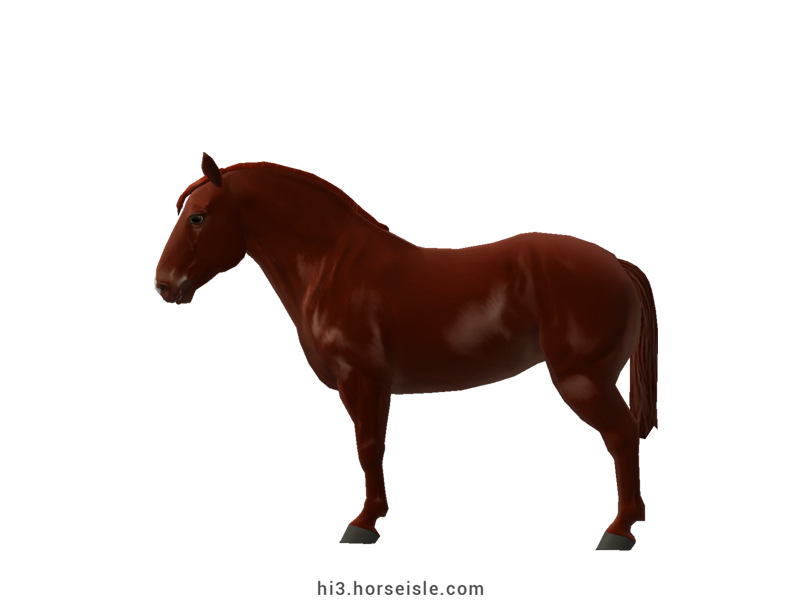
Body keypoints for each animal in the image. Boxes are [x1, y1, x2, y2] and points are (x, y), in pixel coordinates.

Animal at [155, 153, 657, 540]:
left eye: (197, 216)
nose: (164, 285)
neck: (331, 264)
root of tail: (616, 266)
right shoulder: (373, 382)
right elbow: (375, 443)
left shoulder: (358, 375)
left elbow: (367, 444)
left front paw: (366, 520)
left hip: (584, 378)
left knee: (622, 436)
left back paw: (620, 527)